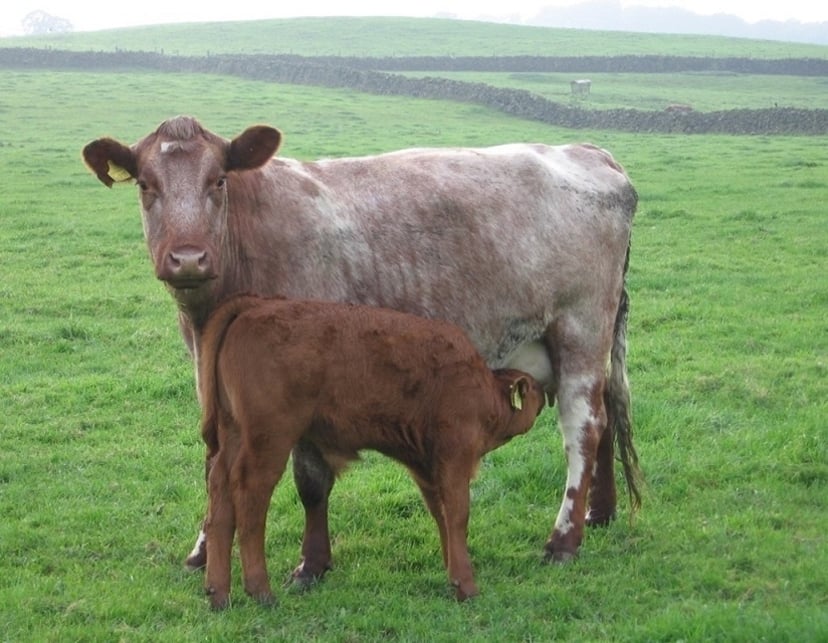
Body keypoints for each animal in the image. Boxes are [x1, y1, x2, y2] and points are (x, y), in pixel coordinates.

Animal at [198, 293, 546, 609]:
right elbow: (458, 515)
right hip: (268, 441)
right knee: (250, 499)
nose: (545, 393)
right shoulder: (454, 457)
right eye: (531, 388)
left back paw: (219, 594)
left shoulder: (427, 467)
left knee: (220, 495)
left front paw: (452, 570)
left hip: (233, 435)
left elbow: (442, 515)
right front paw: (466, 585)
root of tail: (255, 306)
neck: (480, 388)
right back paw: (260, 591)